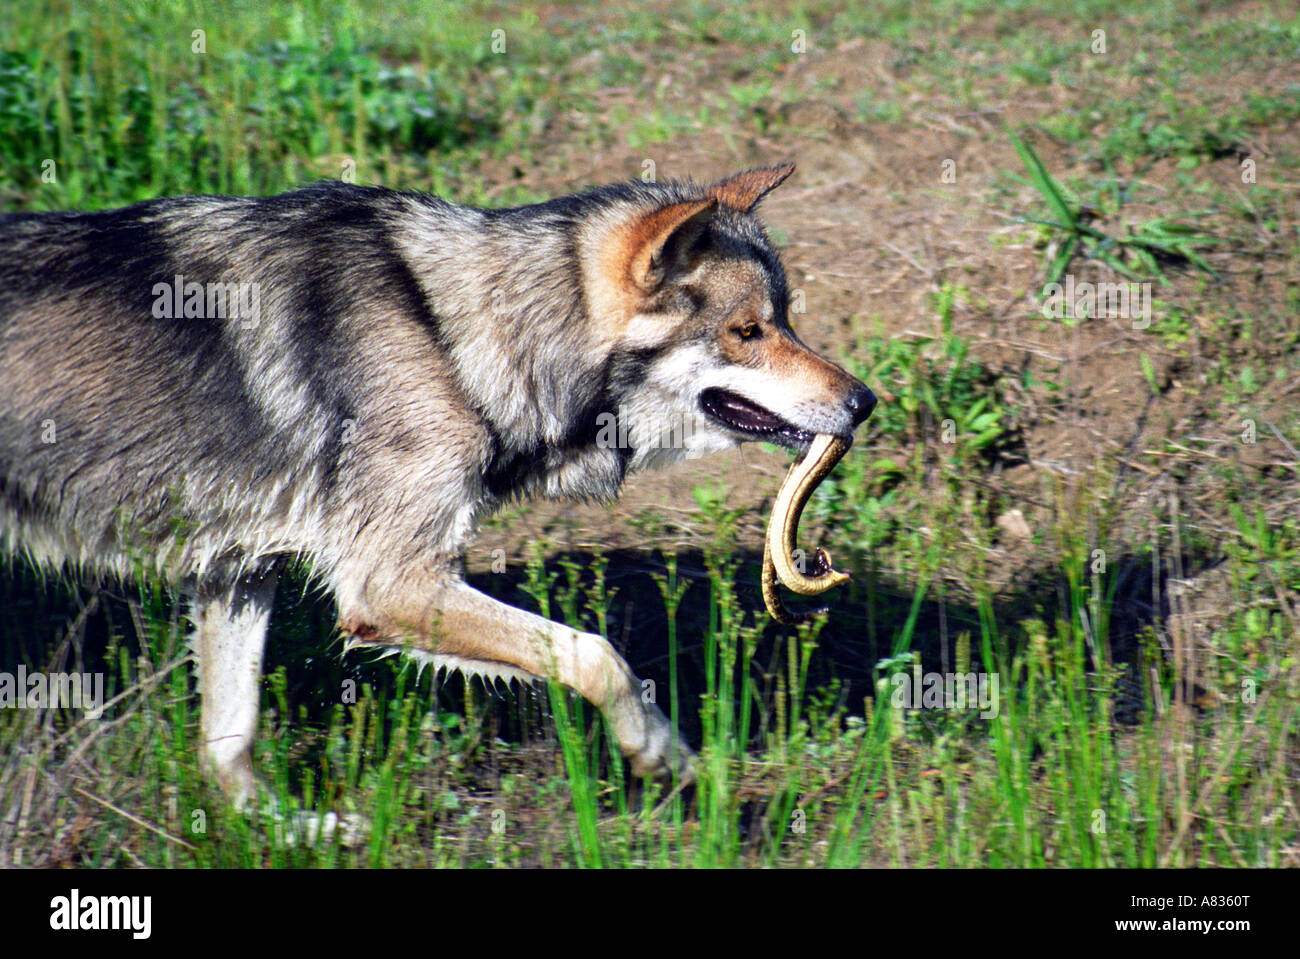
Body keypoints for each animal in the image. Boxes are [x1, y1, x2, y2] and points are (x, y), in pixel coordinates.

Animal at [0, 164, 875, 806]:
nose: (865, 400)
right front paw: (660, 750)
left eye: (787, 318)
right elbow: (598, 653)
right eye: (747, 331)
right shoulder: (390, 585)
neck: (449, 335)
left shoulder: (239, 572)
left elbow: (228, 745)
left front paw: (290, 831)